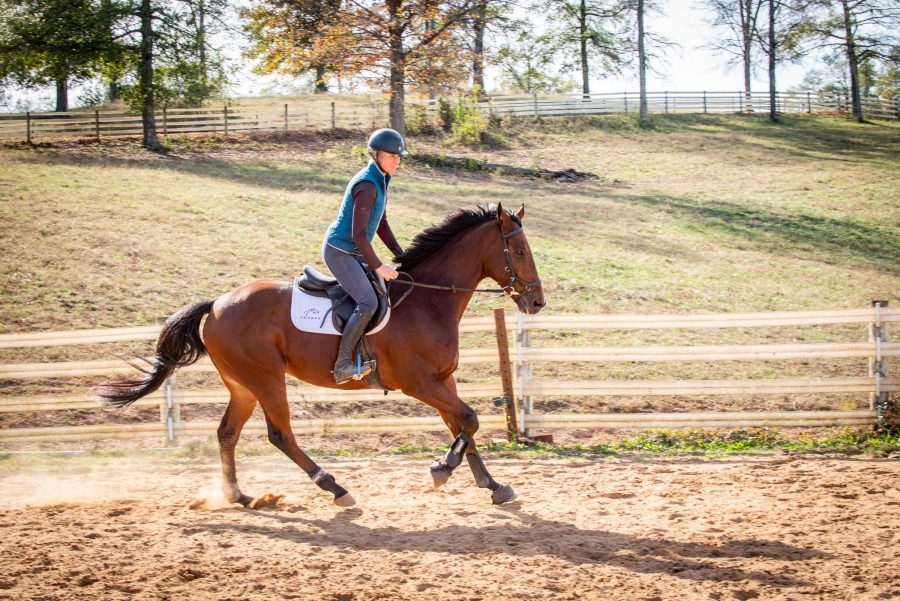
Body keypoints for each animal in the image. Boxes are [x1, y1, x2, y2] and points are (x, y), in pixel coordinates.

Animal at [94, 203, 545, 507]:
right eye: (520, 251)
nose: (538, 302)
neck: (429, 301)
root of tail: (217, 304)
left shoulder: (442, 380)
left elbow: (463, 426)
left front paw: (492, 485)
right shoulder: (420, 383)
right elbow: (468, 419)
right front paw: (442, 469)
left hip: (242, 385)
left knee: (227, 433)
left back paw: (240, 496)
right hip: (265, 379)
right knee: (280, 434)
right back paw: (335, 487)